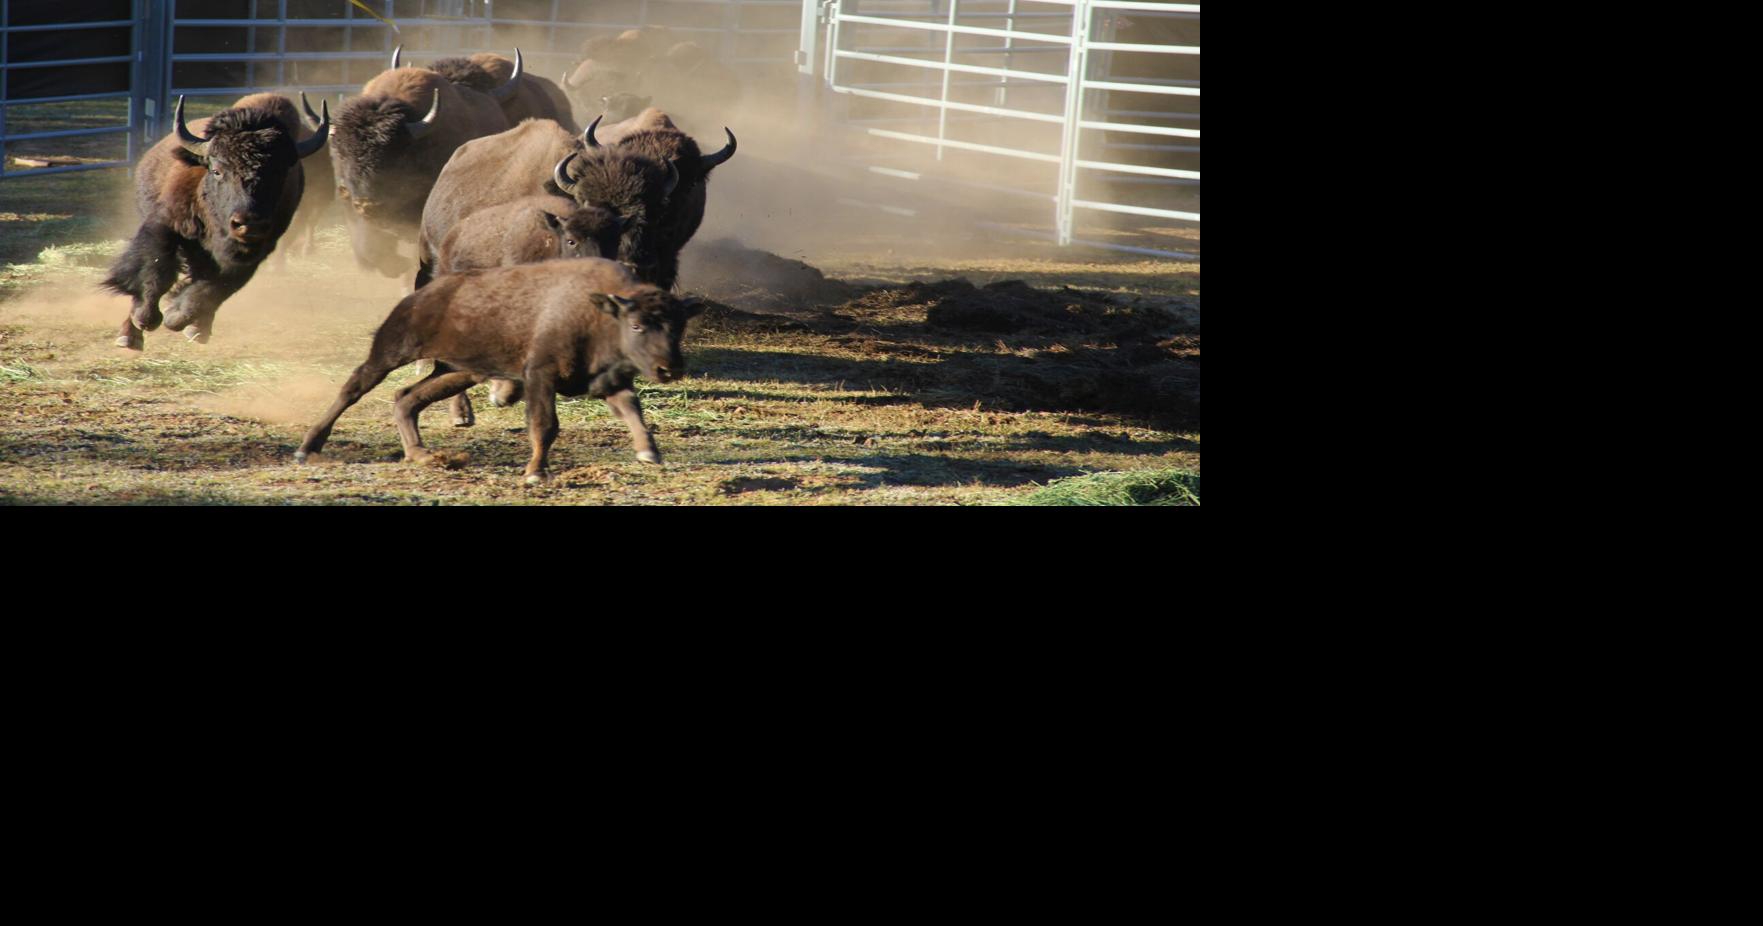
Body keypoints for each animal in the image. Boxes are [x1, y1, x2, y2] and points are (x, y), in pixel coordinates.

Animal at [102, 95, 329, 349]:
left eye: (279, 174)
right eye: (217, 170)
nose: (249, 224)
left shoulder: (248, 257)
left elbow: (211, 290)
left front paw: (176, 317)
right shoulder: (164, 226)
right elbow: (155, 271)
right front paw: (144, 319)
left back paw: (197, 329)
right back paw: (129, 335)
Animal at [294, 259, 704, 481]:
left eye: (678, 326)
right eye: (637, 325)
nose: (669, 368)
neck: (598, 312)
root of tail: (422, 292)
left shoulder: (609, 381)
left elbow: (633, 412)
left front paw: (649, 454)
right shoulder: (540, 375)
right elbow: (544, 425)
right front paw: (536, 473)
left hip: (458, 370)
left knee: (407, 398)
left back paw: (421, 454)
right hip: (392, 351)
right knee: (354, 387)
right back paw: (307, 447)